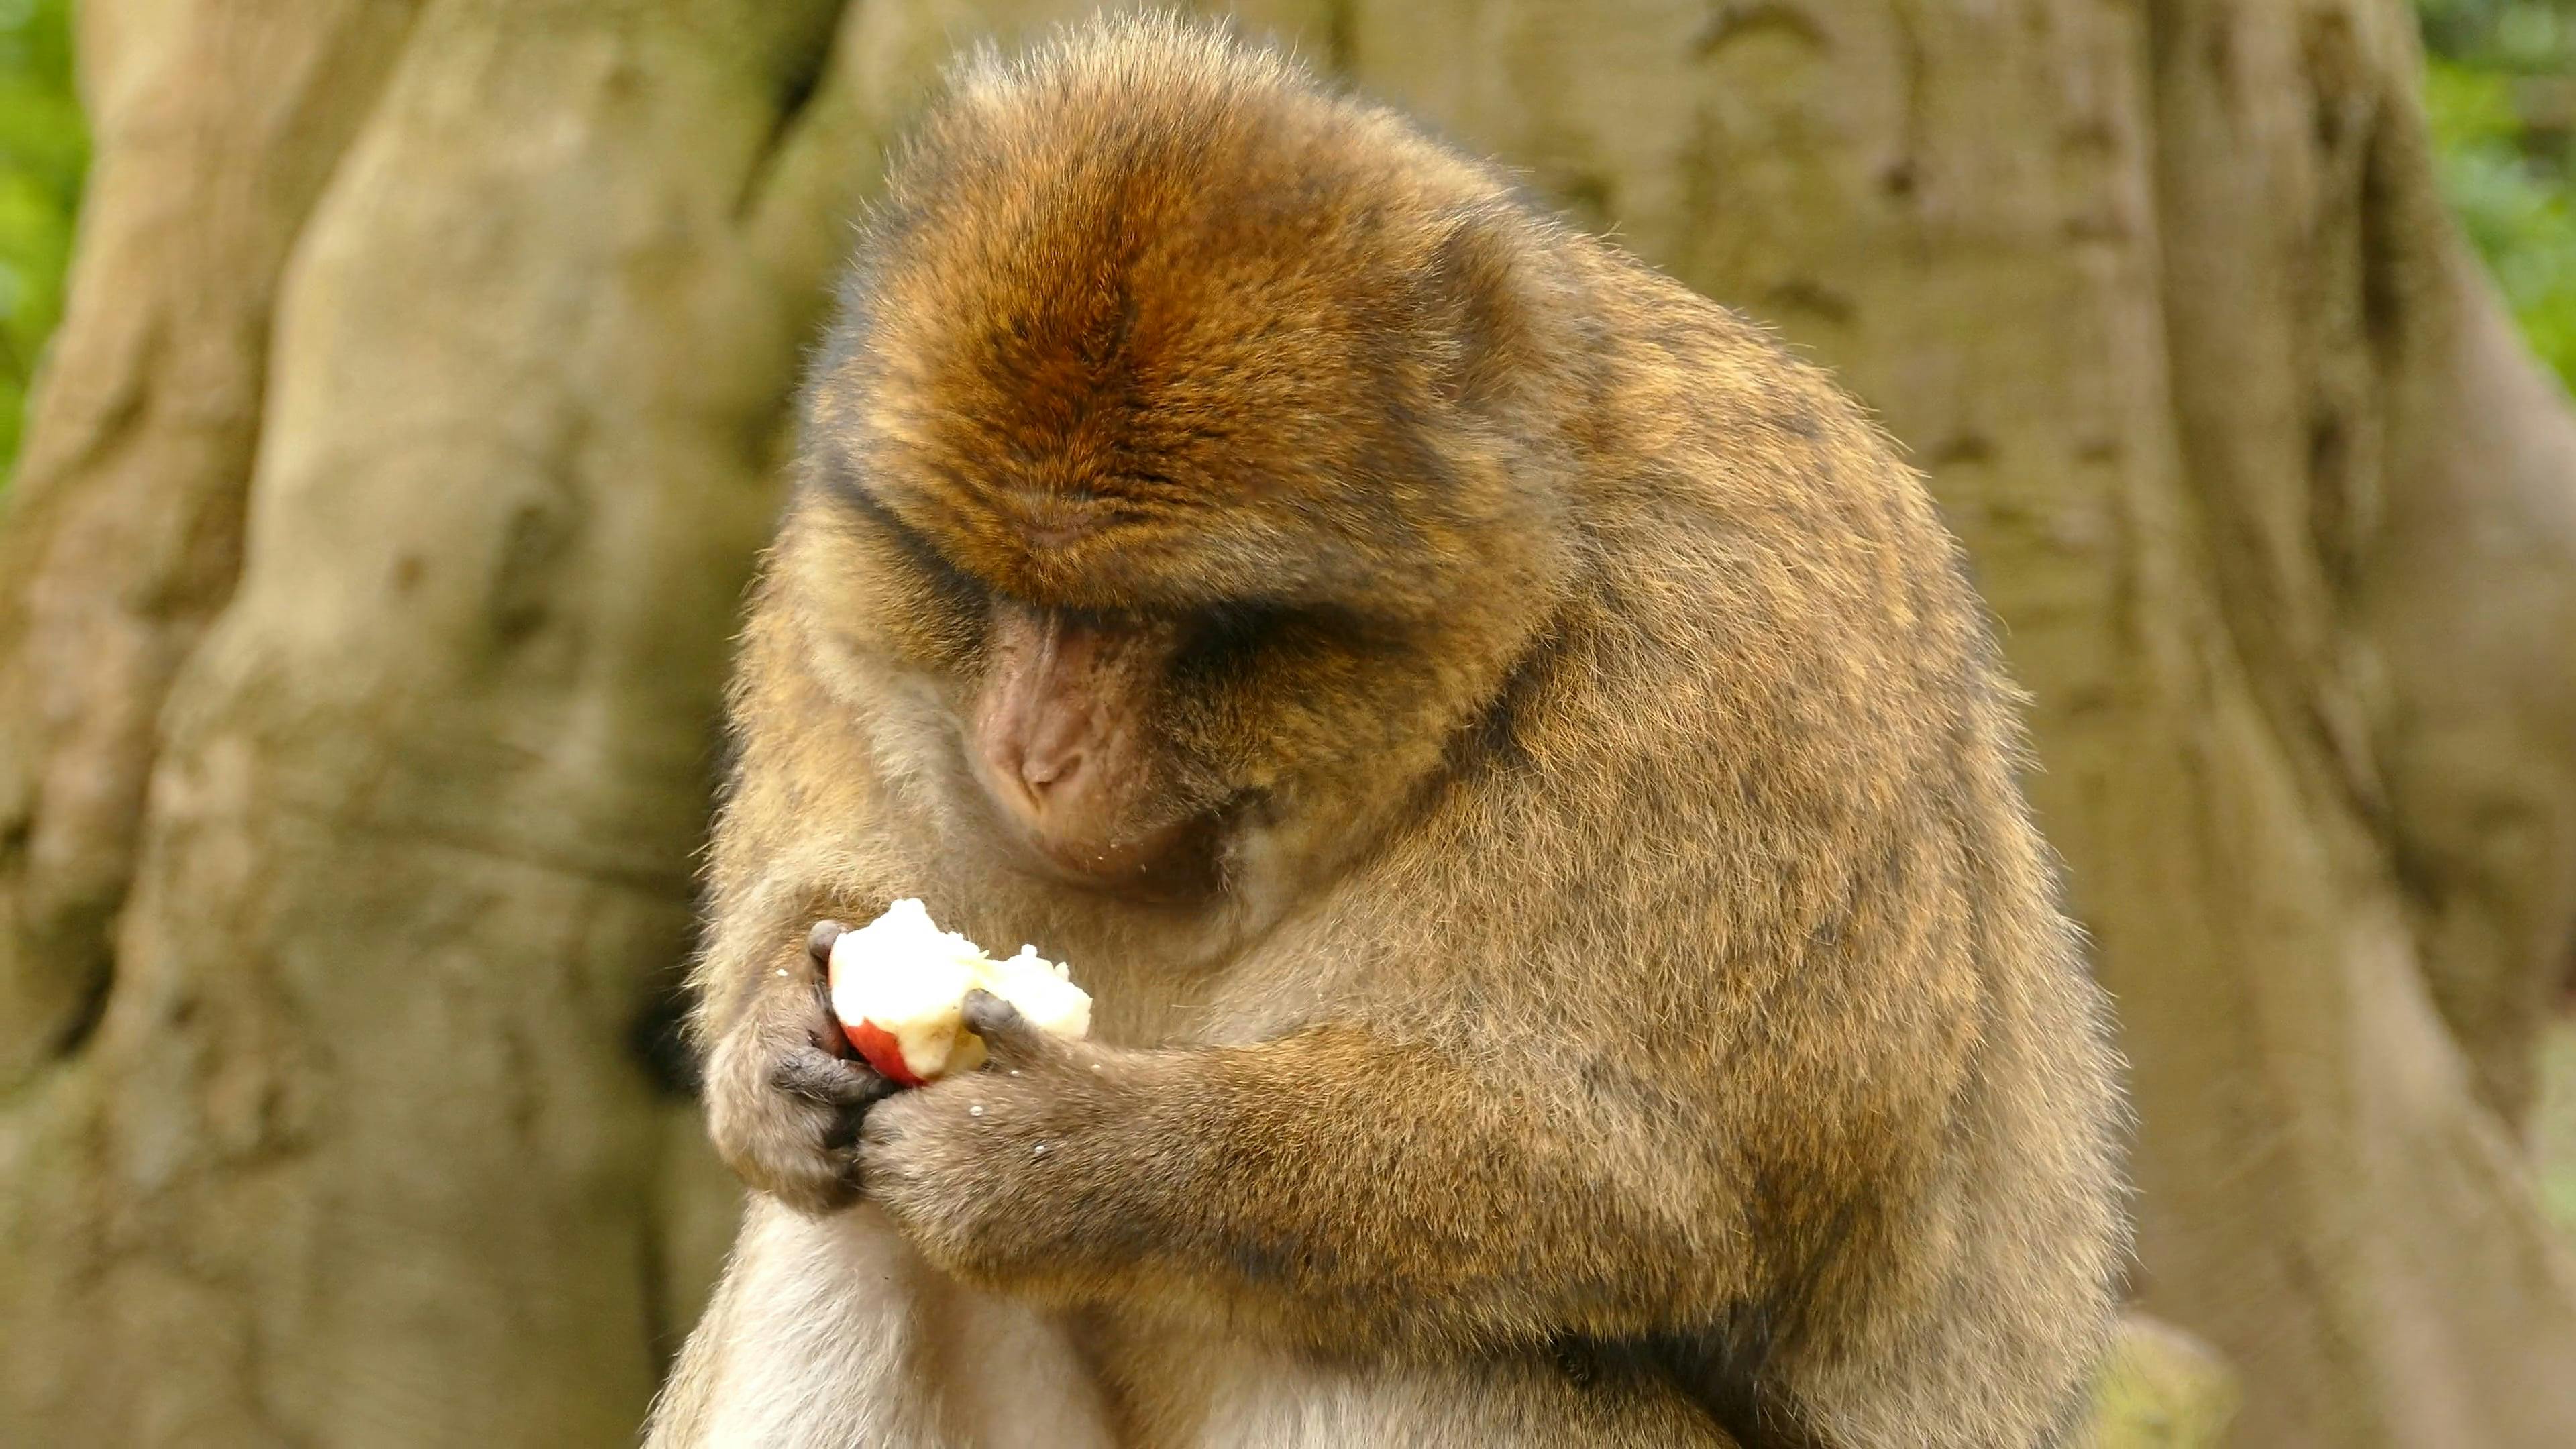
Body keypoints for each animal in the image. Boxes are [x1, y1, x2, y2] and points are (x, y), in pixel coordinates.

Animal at [647, 14, 2127, 1449]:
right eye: (990, 588)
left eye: (1156, 619)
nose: (1030, 751)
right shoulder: (821, 623)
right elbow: (811, 915)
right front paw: (775, 1038)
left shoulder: (1736, 668)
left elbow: (1637, 1184)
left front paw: (1070, 1152)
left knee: (1445, 1347)